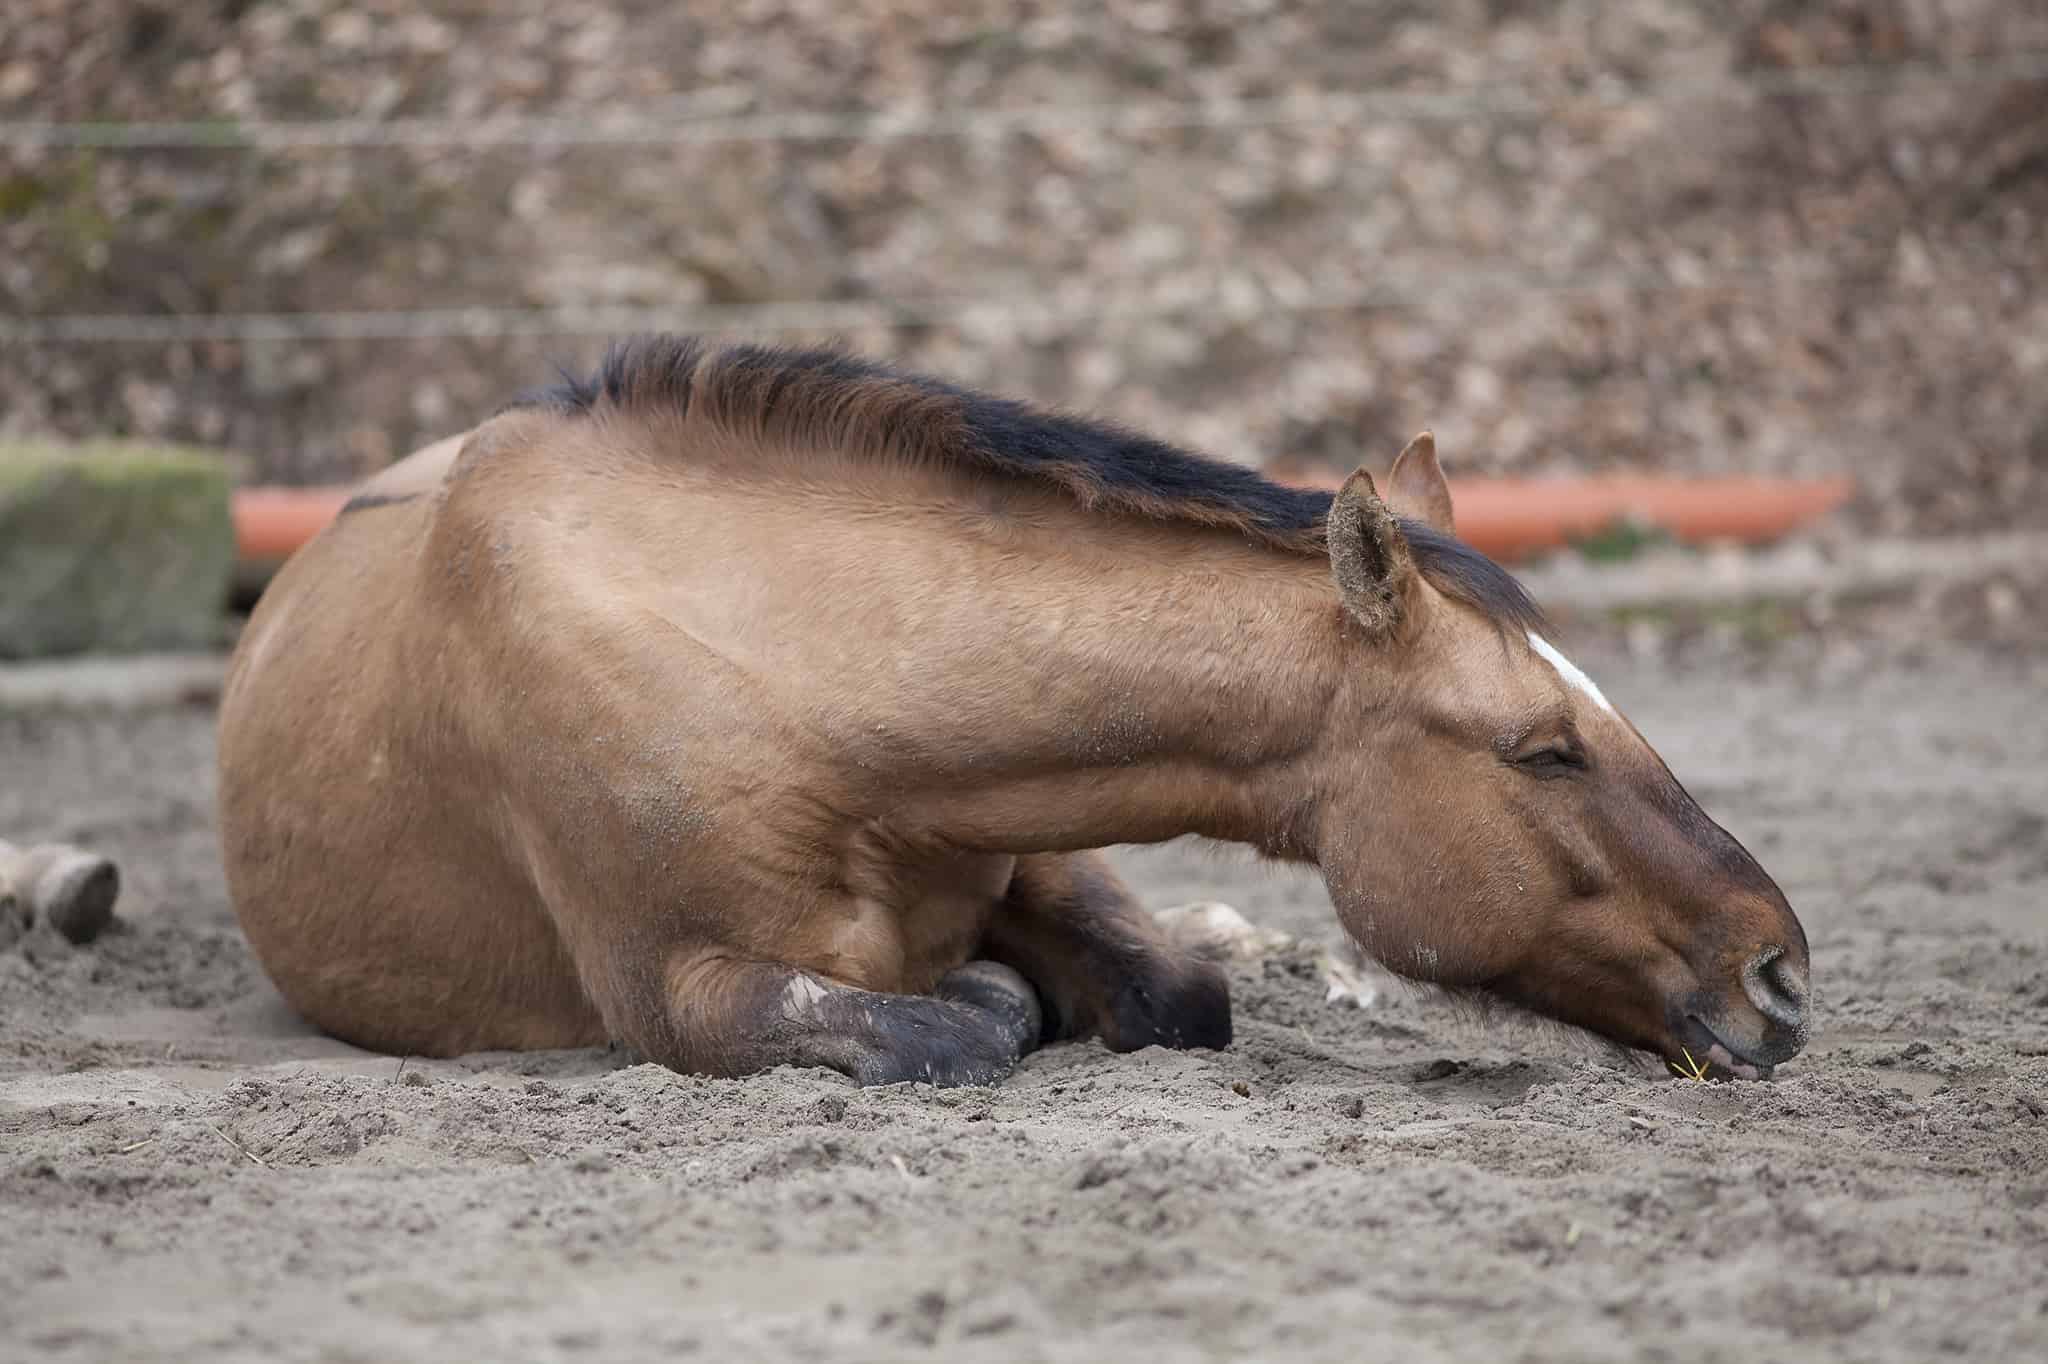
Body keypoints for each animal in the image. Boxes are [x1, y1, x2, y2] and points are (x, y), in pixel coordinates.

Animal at [217, 336, 1810, 1086]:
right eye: (1542, 749)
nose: (1781, 975)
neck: (789, 671)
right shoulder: (679, 991)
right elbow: (960, 1022)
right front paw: (997, 1000)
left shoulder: (1040, 836)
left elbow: (1175, 993)